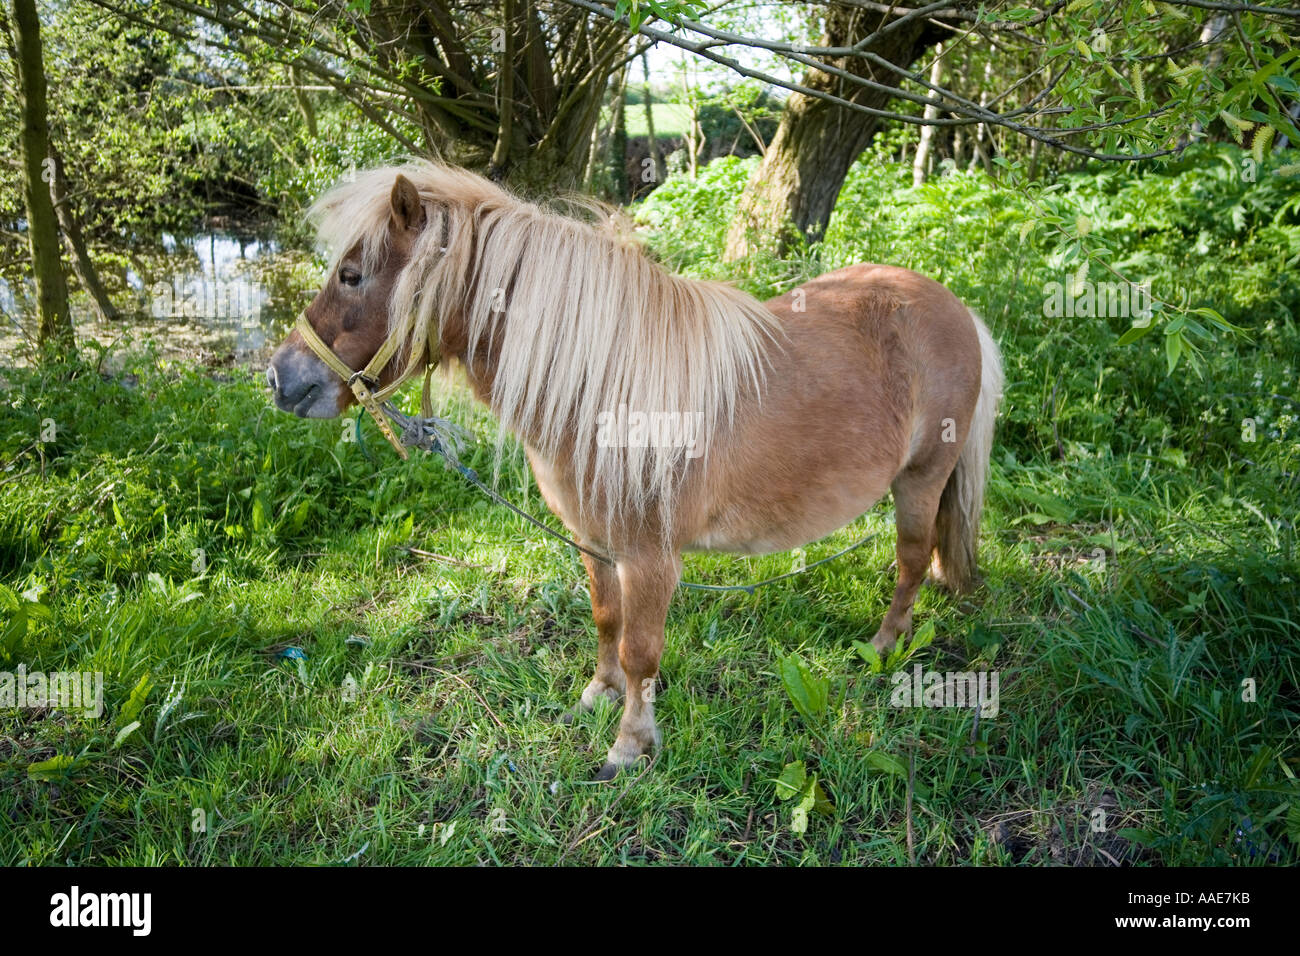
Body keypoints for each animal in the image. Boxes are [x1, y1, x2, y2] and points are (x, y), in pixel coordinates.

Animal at [266, 162, 1003, 780]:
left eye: (352, 275)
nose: (281, 378)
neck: (605, 388)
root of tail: (955, 307)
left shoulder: (651, 558)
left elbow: (641, 649)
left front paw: (629, 746)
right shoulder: (594, 541)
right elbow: (605, 621)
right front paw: (598, 694)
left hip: (920, 479)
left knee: (911, 559)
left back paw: (883, 646)